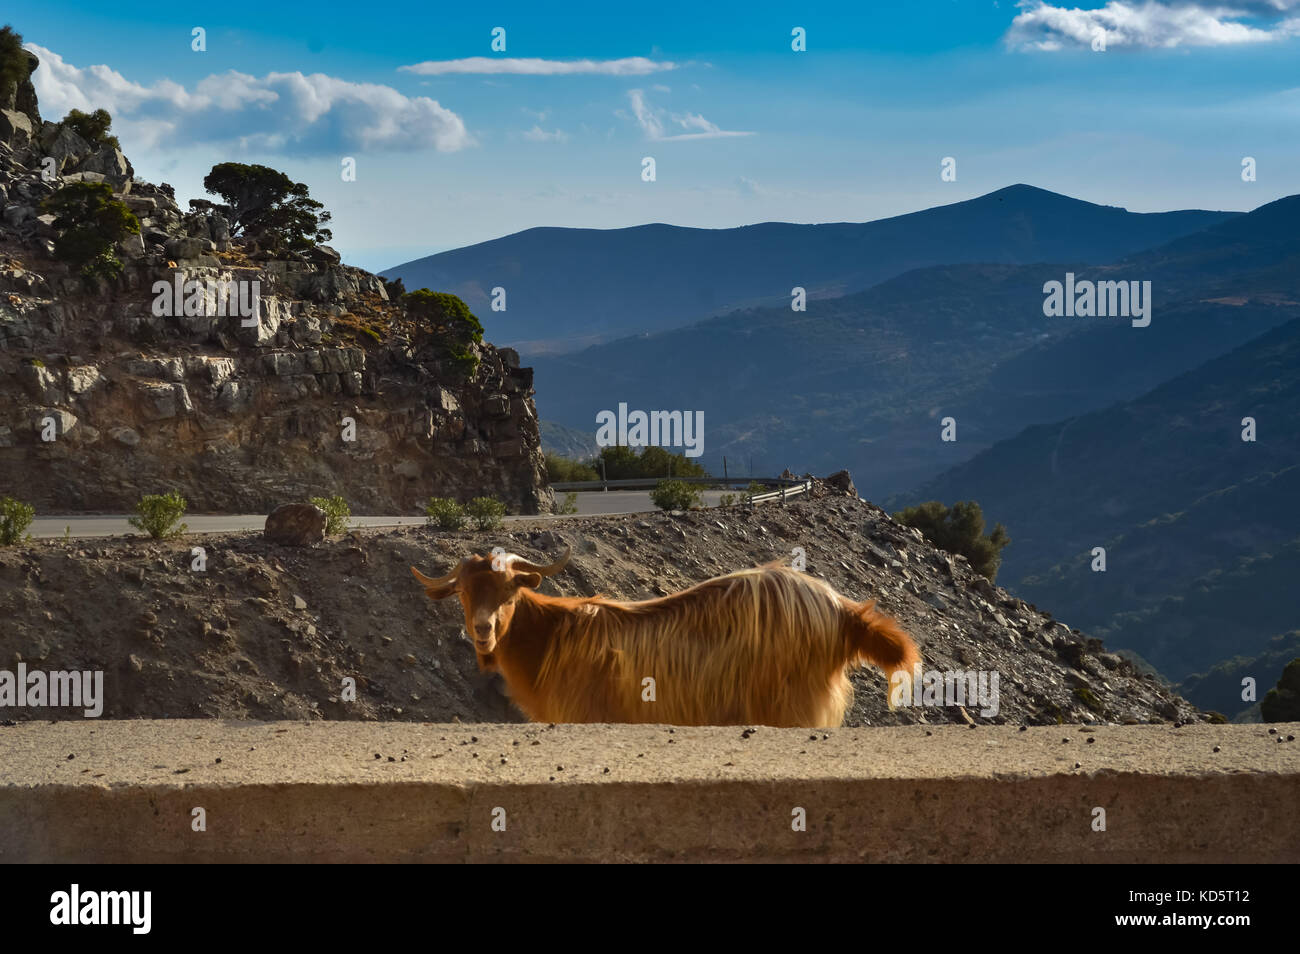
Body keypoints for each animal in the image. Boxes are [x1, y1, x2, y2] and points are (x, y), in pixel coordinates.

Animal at [411, 546, 920, 727]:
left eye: (509, 591)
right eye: (464, 593)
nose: (482, 630)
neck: (552, 638)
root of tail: (840, 610)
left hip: (792, 707)